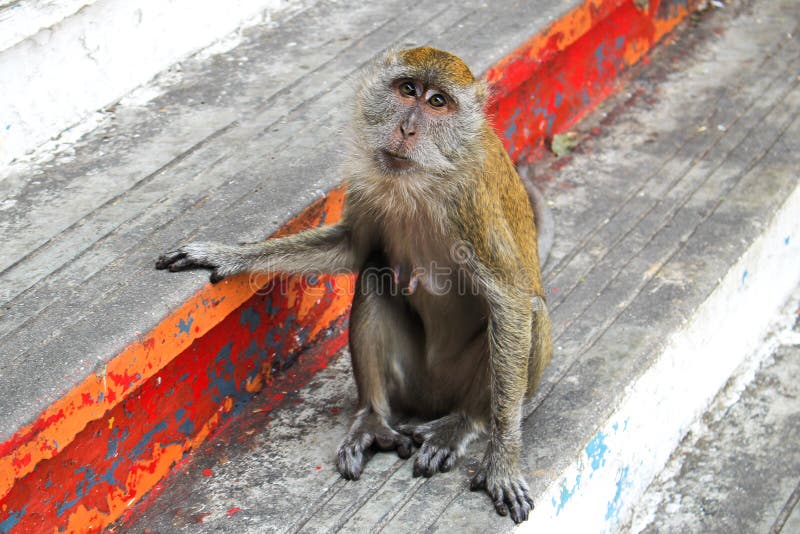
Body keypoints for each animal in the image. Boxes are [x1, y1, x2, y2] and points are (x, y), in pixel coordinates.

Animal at [156, 47, 553, 524]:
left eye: (438, 102)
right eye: (408, 90)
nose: (406, 128)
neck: (424, 178)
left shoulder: (470, 200)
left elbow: (509, 299)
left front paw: (503, 461)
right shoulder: (368, 179)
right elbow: (352, 249)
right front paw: (229, 255)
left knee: (530, 313)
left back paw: (465, 422)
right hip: (414, 381)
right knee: (374, 273)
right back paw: (373, 418)